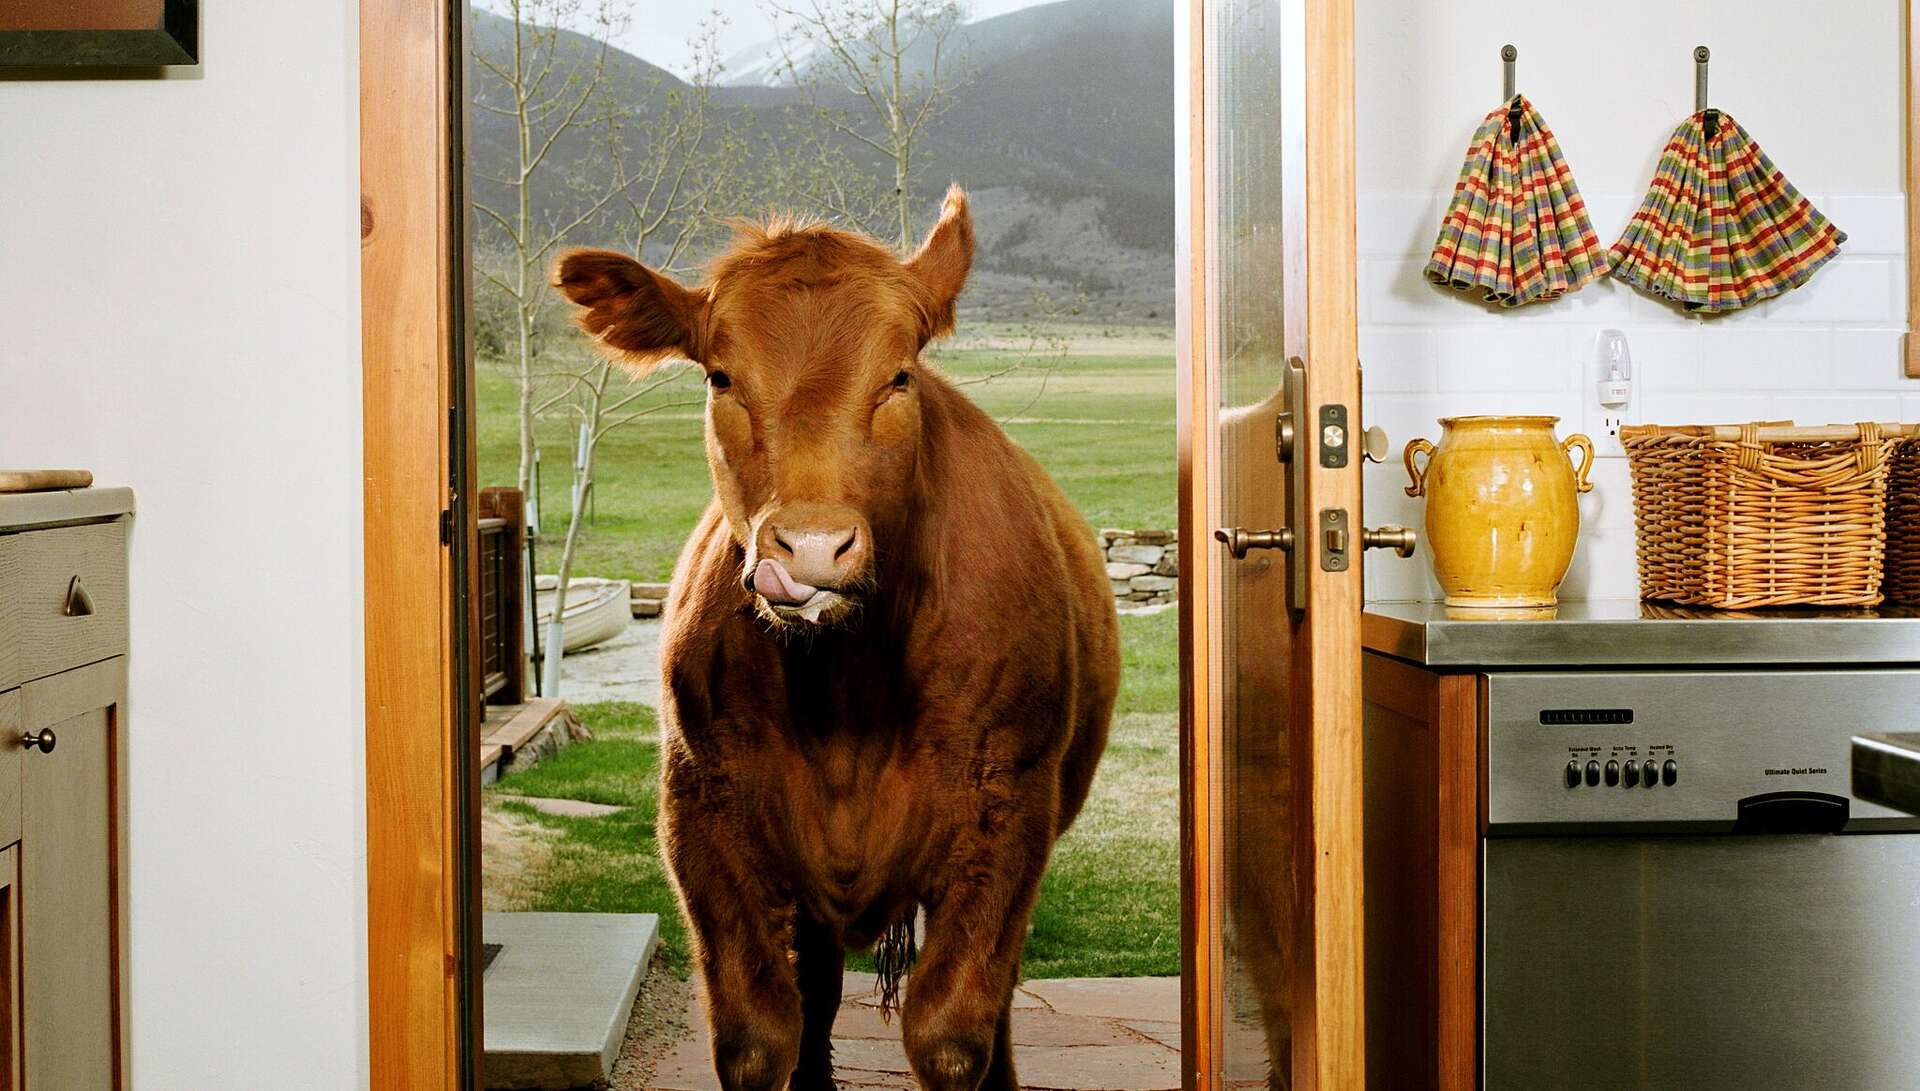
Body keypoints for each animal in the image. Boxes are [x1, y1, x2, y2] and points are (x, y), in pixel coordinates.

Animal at [554, 185, 1121, 1091]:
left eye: (898, 376)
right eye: (720, 376)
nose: (812, 549)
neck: (848, 694)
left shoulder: (1006, 816)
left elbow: (955, 1029)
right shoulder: (703, 818)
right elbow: (756, 1033)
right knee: (818, 984)